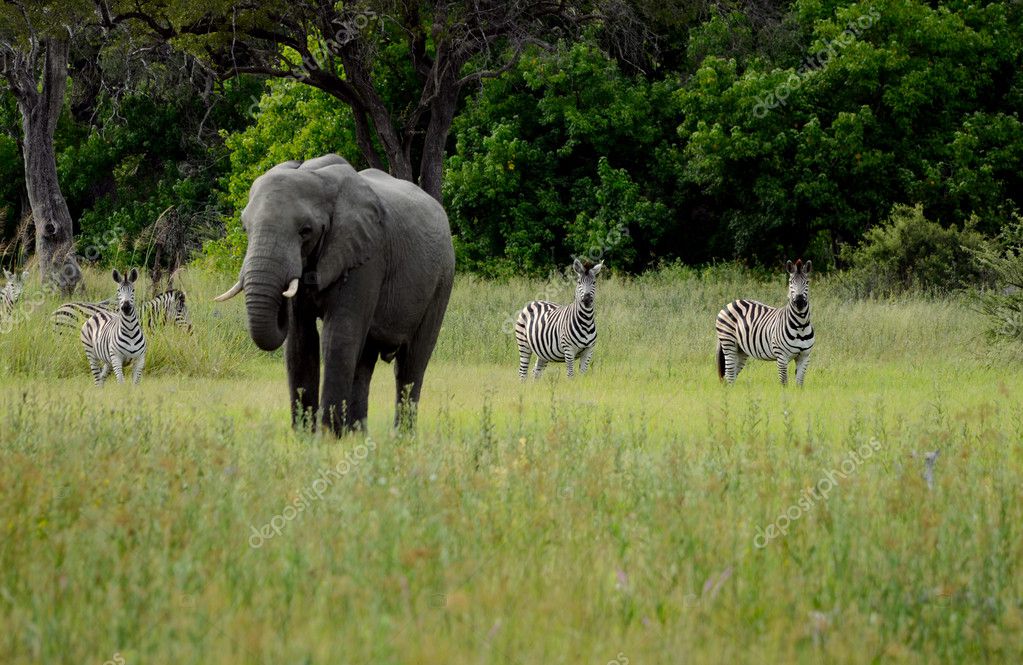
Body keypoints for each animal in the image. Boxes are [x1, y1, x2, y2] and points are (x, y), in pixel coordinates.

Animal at [215, 154, 455, 435]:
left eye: (305, 231)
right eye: (245, 228)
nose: (281, 306)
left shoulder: (367, 256)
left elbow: (338, 337)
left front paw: (327, 435)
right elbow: (300, 340)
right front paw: (305, 436)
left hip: (442, 280)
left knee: (411, 363)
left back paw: (401, 437)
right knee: (364, 362)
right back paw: (357, 434)